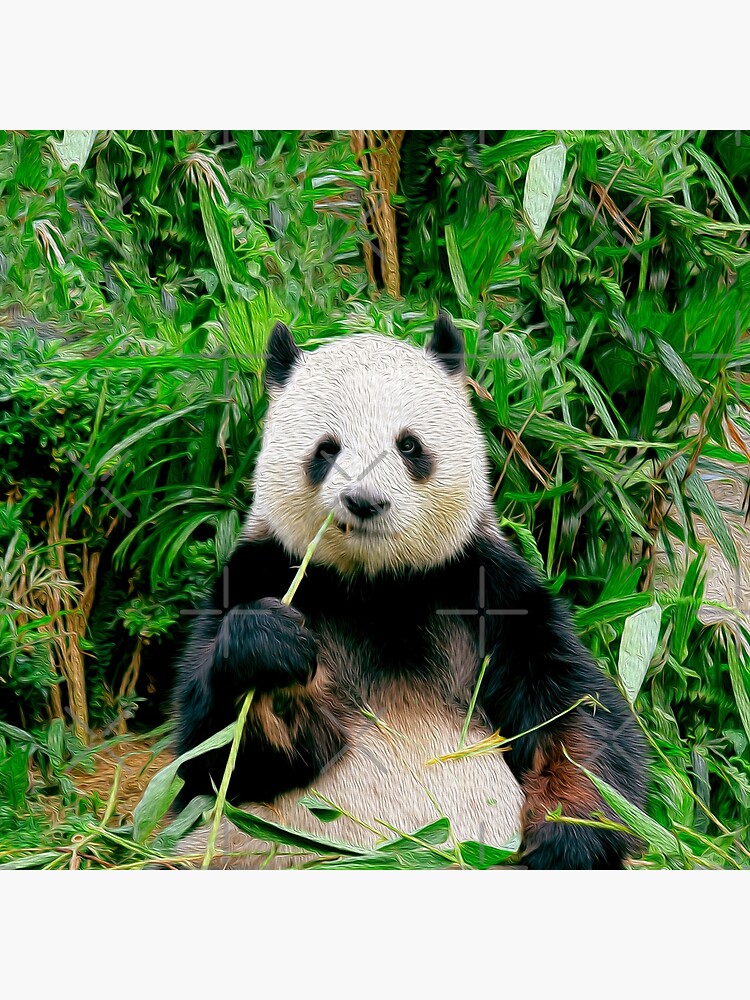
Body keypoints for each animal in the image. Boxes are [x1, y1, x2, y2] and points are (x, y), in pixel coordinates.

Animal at [173, 315, 646, 869]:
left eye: (409, 445)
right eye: (327, 449)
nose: (364, 501)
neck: (378, 586)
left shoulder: (487, 590)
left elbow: (575, 717)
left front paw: (567, 840)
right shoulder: (261, 572)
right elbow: (217, 760)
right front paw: (272, 653)